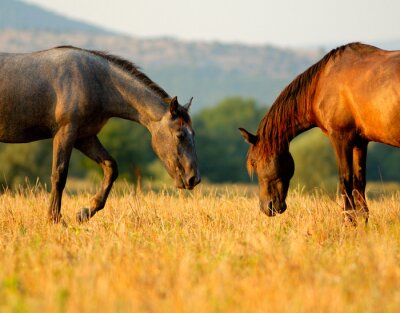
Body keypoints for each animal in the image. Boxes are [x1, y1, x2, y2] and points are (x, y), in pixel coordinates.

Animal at [0, 45, 200, 223]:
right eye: (180, 135)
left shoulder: (84, 137)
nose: (193, 179)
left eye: (193, 134)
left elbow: (111, 167)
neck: (95, 82)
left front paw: (85, 212)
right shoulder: (65, 132)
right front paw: (55, 219)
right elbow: (59, 175)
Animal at [241, 42, 400, 223]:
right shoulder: (360, 142)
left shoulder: (341, 138)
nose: (267, 207)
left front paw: (349, 222)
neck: (320, 84)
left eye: (254, 162)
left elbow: (345, 181)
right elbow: (359, 184)